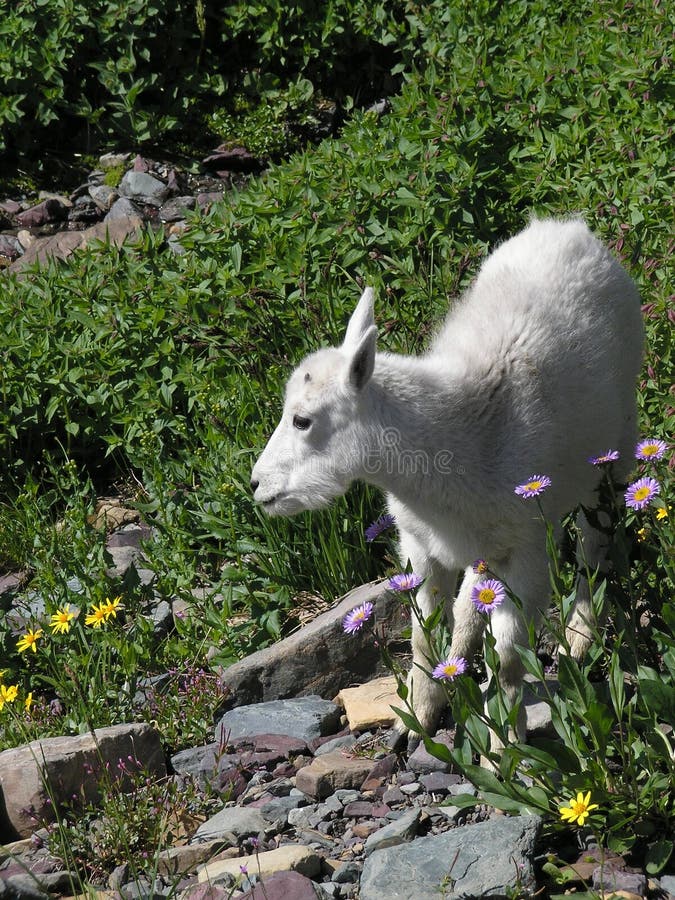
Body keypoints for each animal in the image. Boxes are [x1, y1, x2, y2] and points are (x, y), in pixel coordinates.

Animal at [251, 218, 644, 754]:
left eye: (302, 420)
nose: (257, 485)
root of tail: (570, 227)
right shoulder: (421, 547)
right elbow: (423, 635)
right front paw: (418, 716)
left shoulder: (525, 551)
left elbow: (509, 658)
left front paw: (506, 750)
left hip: (613, 449)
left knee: (593, 541)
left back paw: (582, 635)